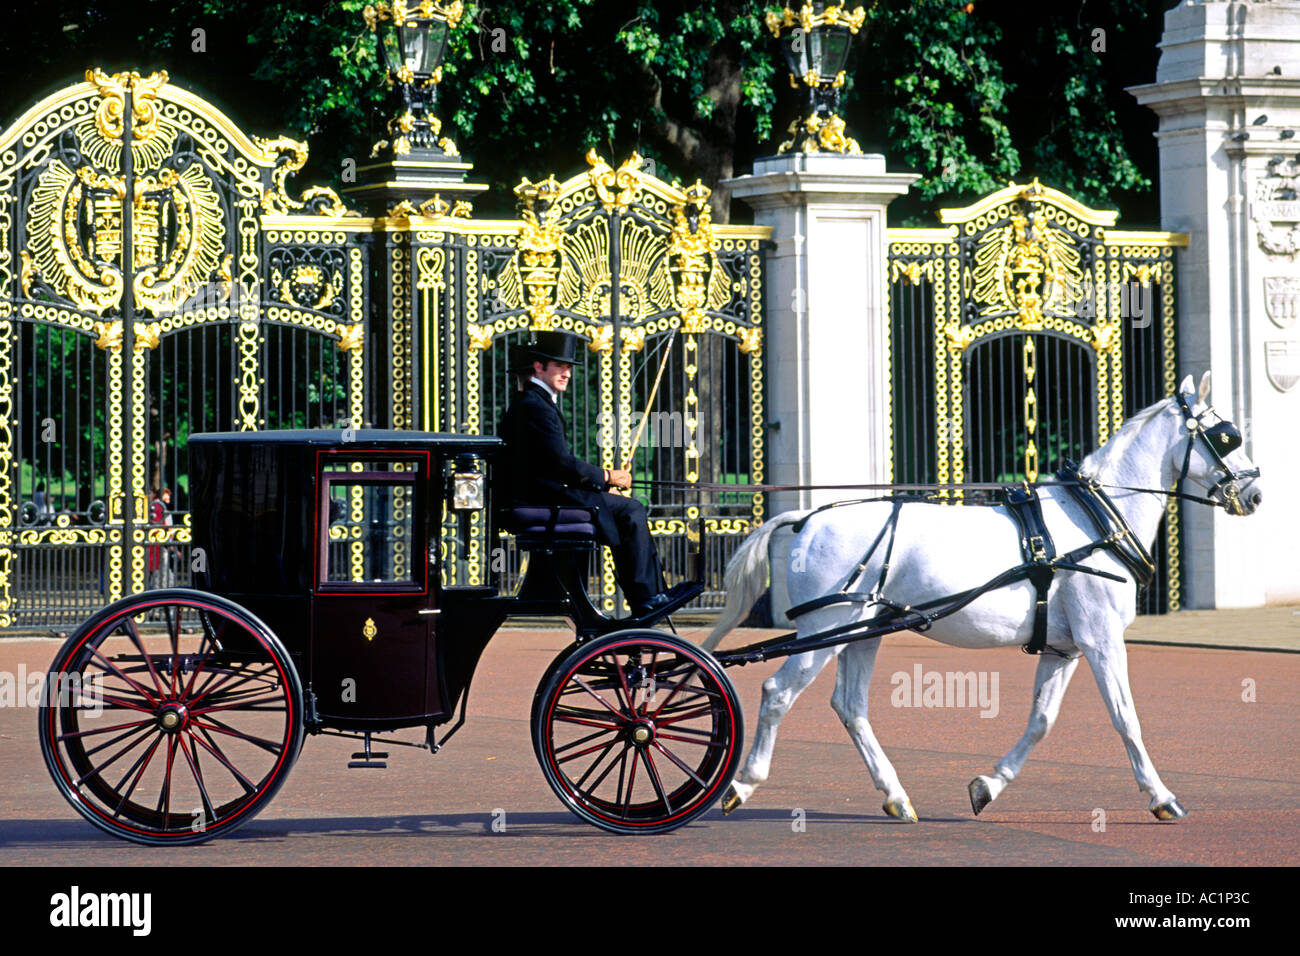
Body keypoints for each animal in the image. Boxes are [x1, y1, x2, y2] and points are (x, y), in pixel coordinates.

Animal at [700, 372, 1262, 822]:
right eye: (1226, 435)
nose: (1255, 495)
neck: (1097, 520)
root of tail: (806, 517)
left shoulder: (1065, 648)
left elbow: (1041, 722)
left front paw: (988, 786)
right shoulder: (1101, 639)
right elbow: (1126, 717)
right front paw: (1162, 796)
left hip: (861, 631)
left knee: (851, 705)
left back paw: (895, 796)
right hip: (825, 630)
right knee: (778, 692)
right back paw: (743, 784)